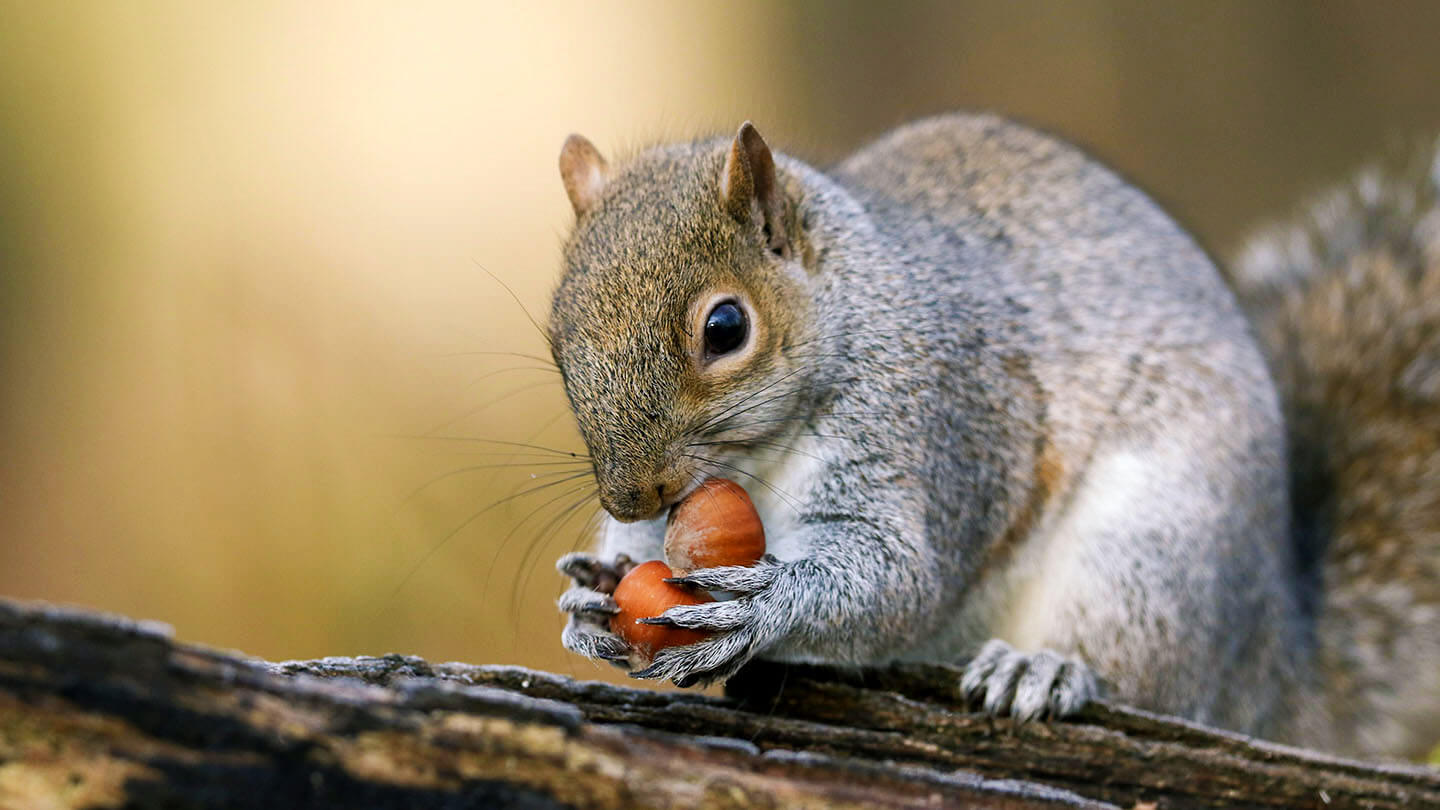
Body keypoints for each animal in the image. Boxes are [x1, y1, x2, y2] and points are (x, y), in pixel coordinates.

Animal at [546, 113, 1440, 761]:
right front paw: (600, 587)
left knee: (1151, 680)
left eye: (726, 328)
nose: (631, 495)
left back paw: (1044, 667)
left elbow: (904, 579)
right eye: (557, 339)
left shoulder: (942, 423)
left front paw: (761, 608)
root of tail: (1274, 657)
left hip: (1155, 546)